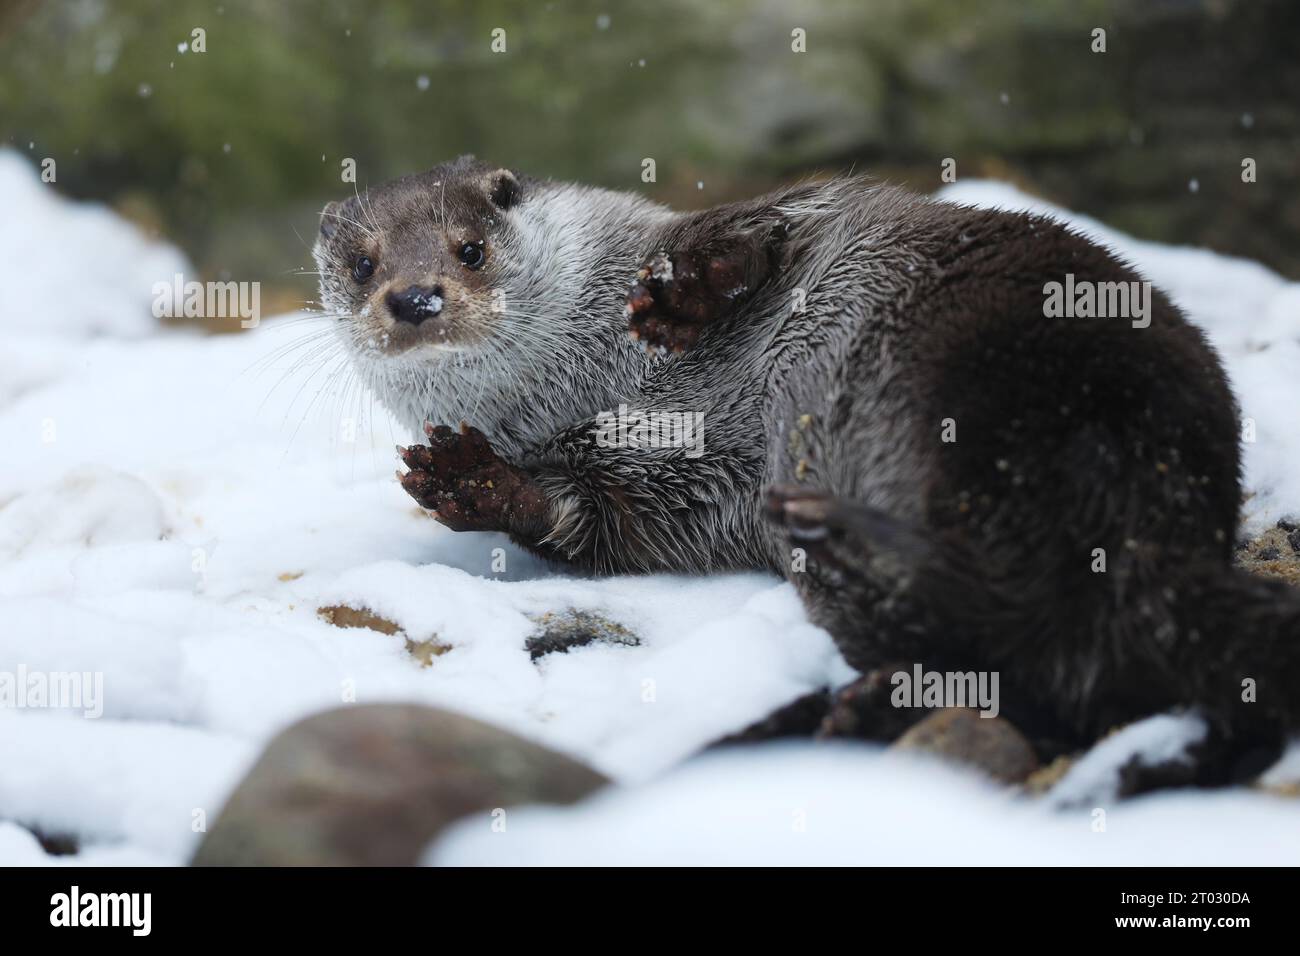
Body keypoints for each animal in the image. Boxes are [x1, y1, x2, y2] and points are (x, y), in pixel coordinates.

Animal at [314, 155, 1299, 787]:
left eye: (469, 248)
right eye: (363, 265)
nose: (414, 298)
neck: (600, 375)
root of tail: (1157, 501)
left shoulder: (775, 215)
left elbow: (760, 228)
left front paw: (678, 295)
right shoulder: (651, 491)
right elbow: (590, 519)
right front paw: (466, 481)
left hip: (990, 365)